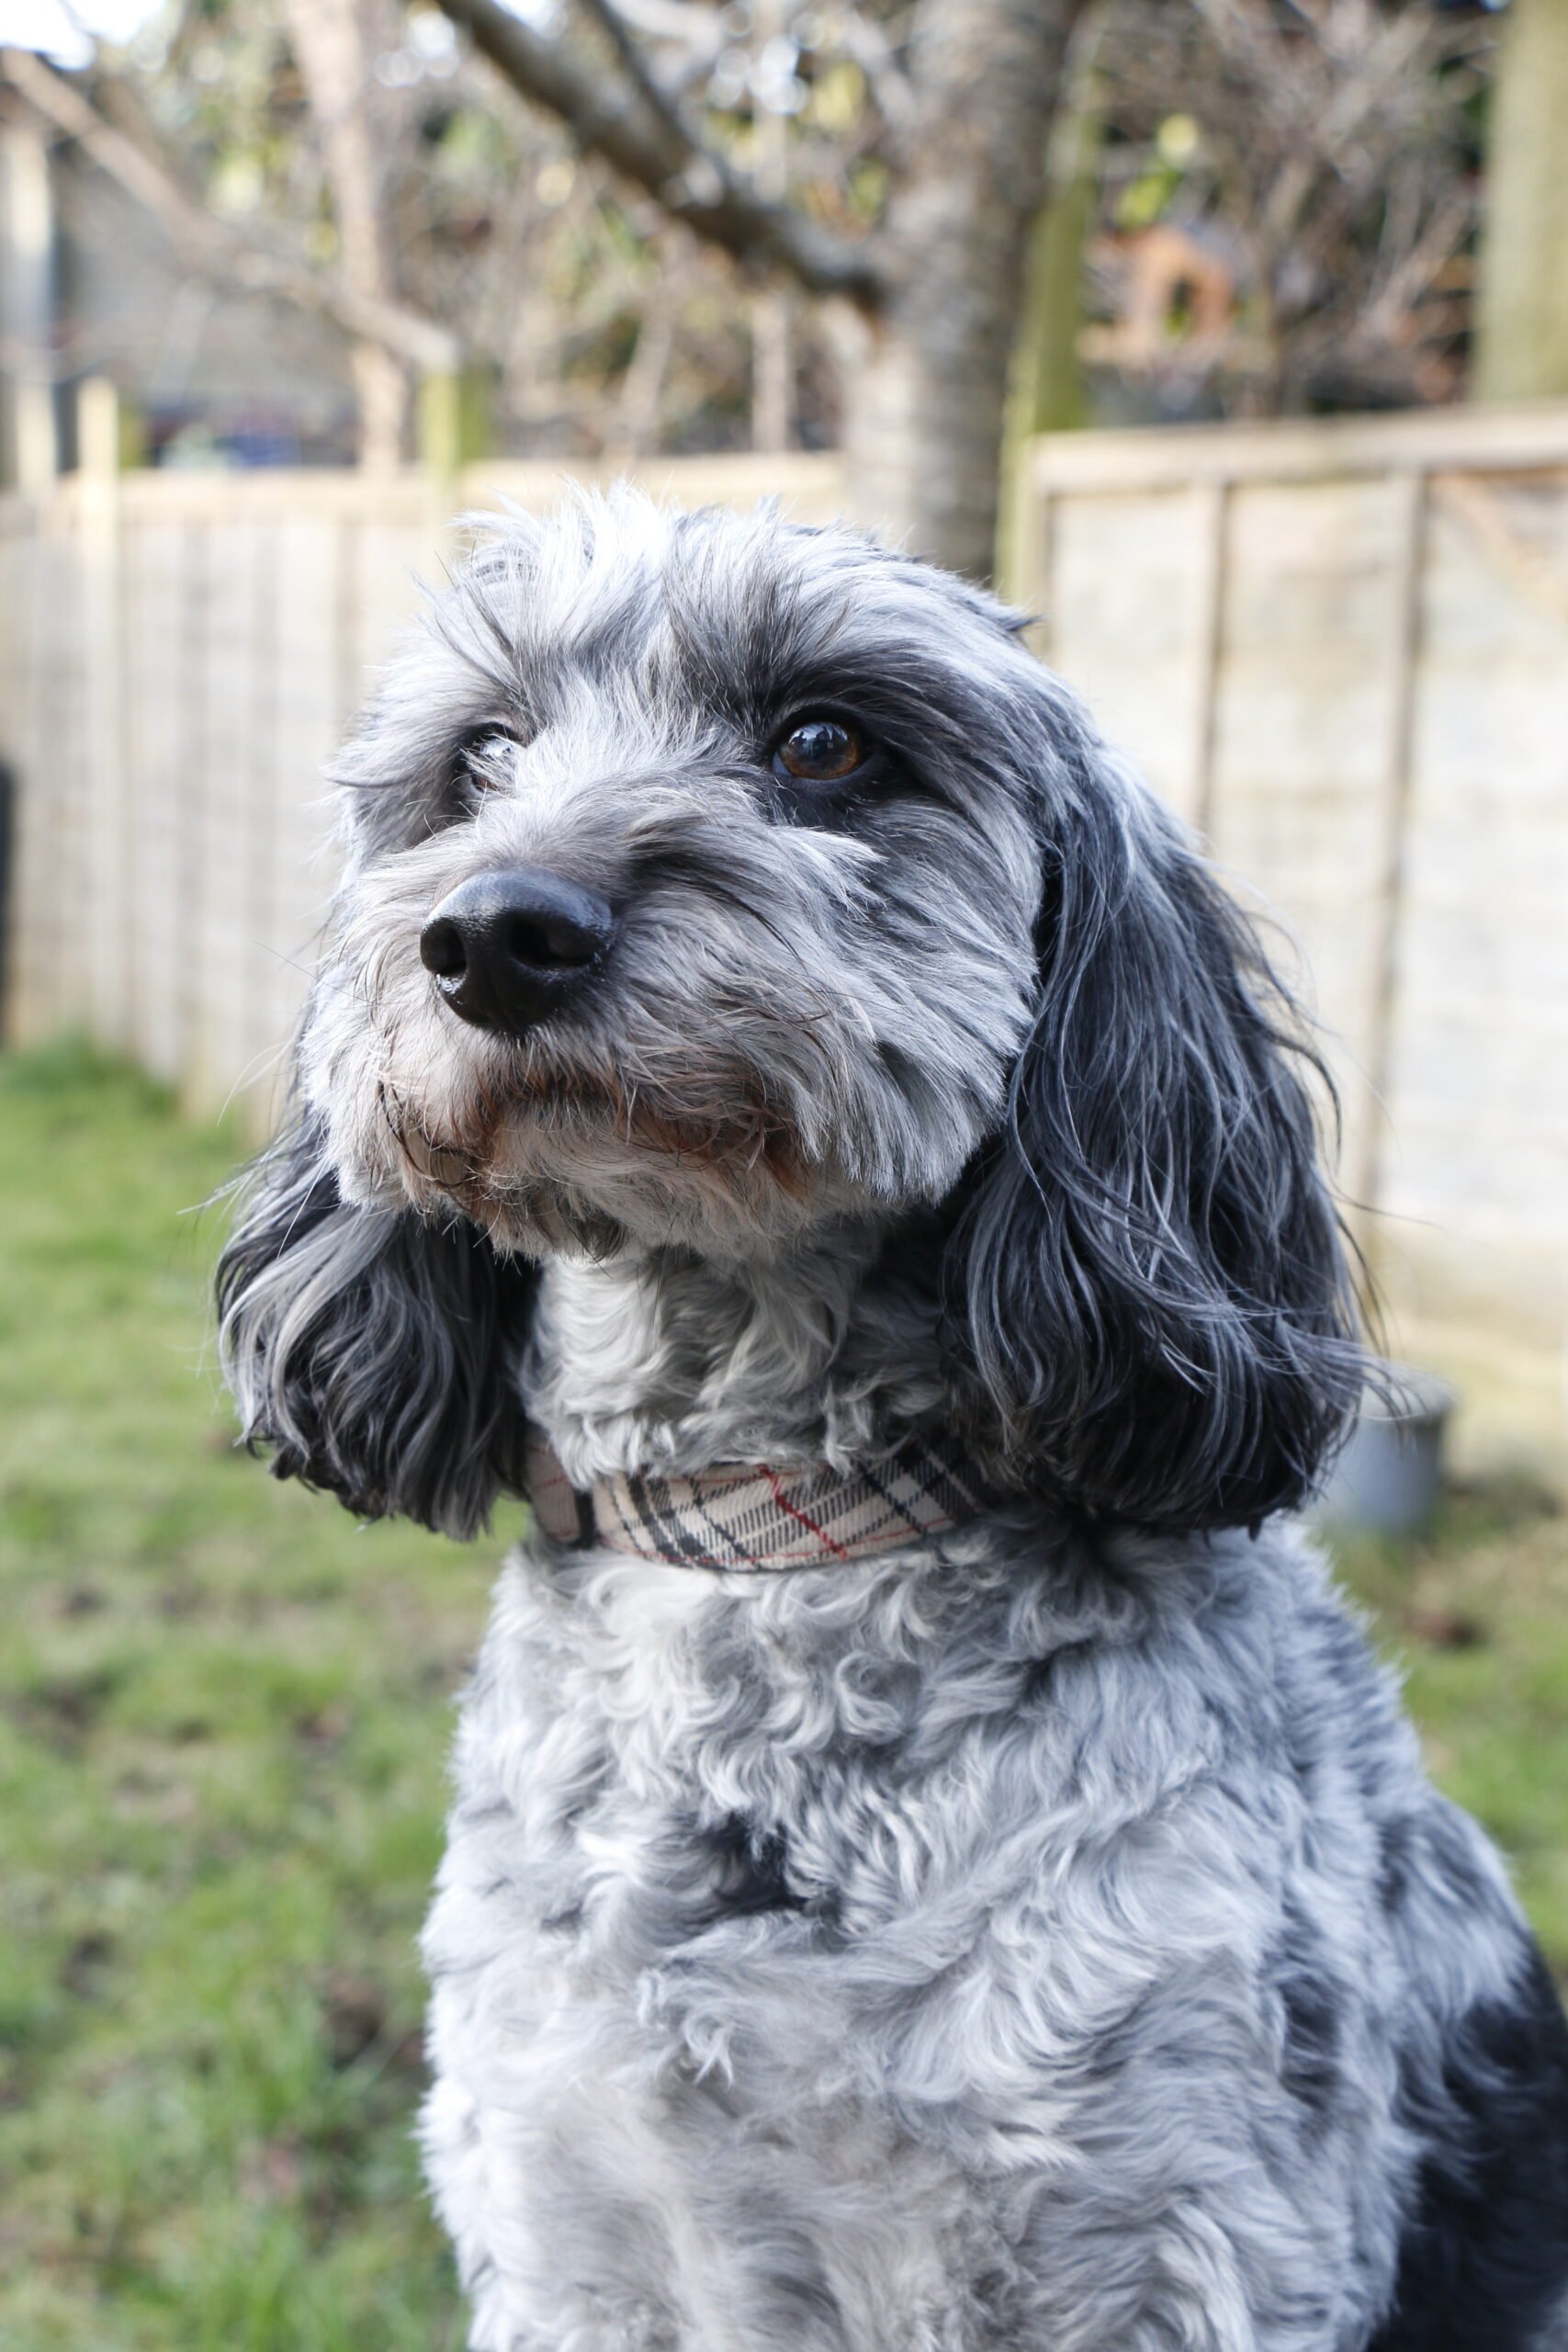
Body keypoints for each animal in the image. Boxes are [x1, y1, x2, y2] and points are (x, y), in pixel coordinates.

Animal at [217, 494, 1568, 2351]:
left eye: (823, 743)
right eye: (478, 759)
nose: (494, 932)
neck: (770, 1538)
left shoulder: (1189, 2240)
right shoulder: (568, 2225)